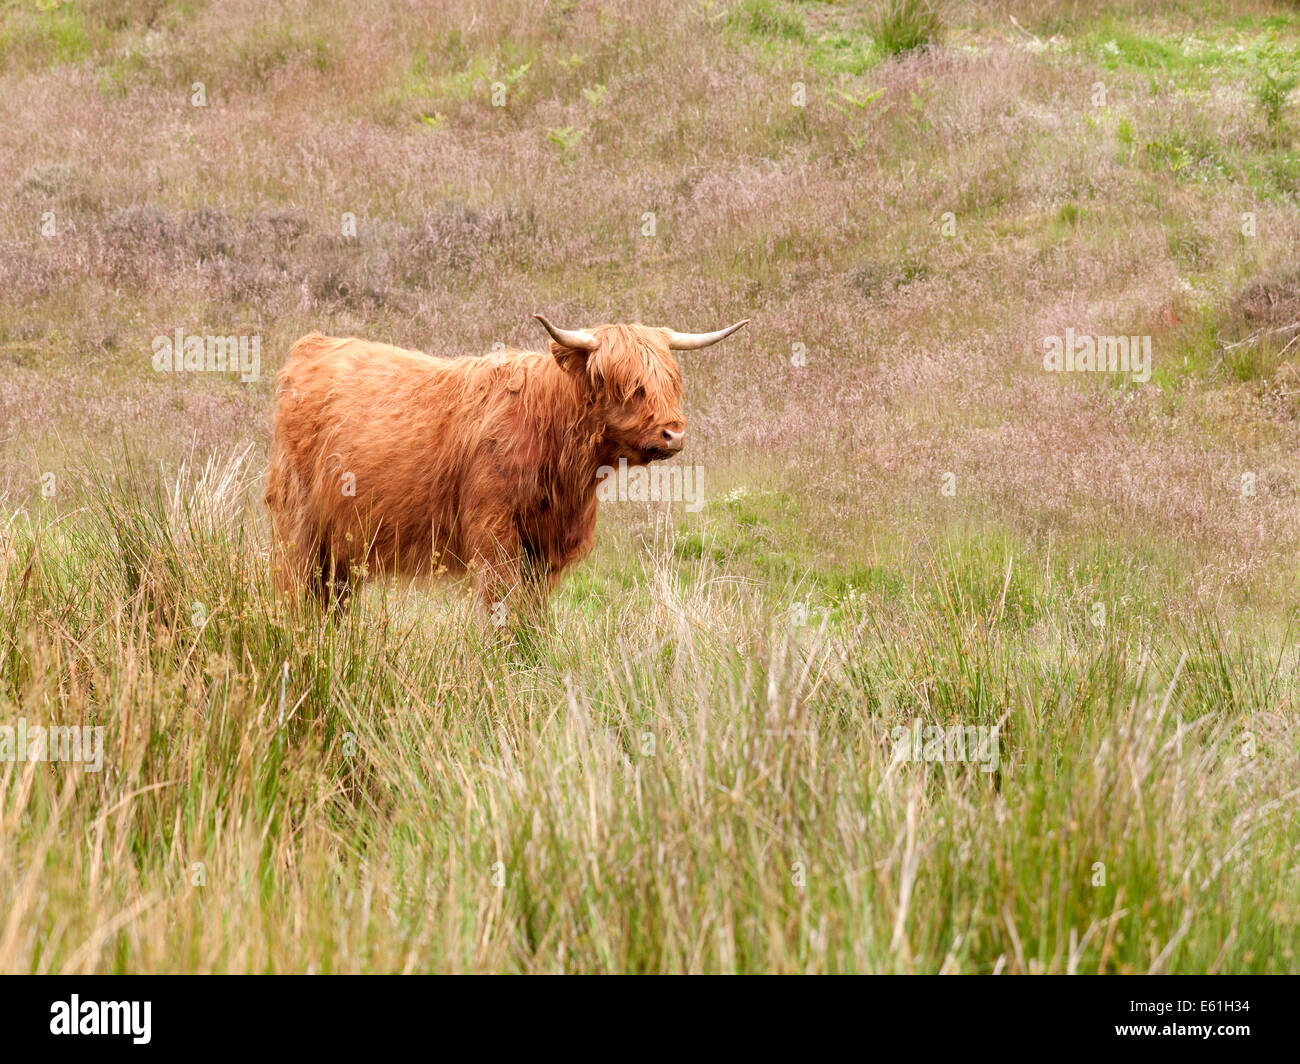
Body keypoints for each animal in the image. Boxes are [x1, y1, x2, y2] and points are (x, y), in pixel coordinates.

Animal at [264, 314, 748, 615]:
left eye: (671, 381)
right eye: (625, 385)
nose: (674, 433)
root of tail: (313, 346)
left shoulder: (545, 548)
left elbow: (532, 613)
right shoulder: (494, 532)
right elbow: (503, 606)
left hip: (342, 545)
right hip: (298, 524)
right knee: (297, 591)